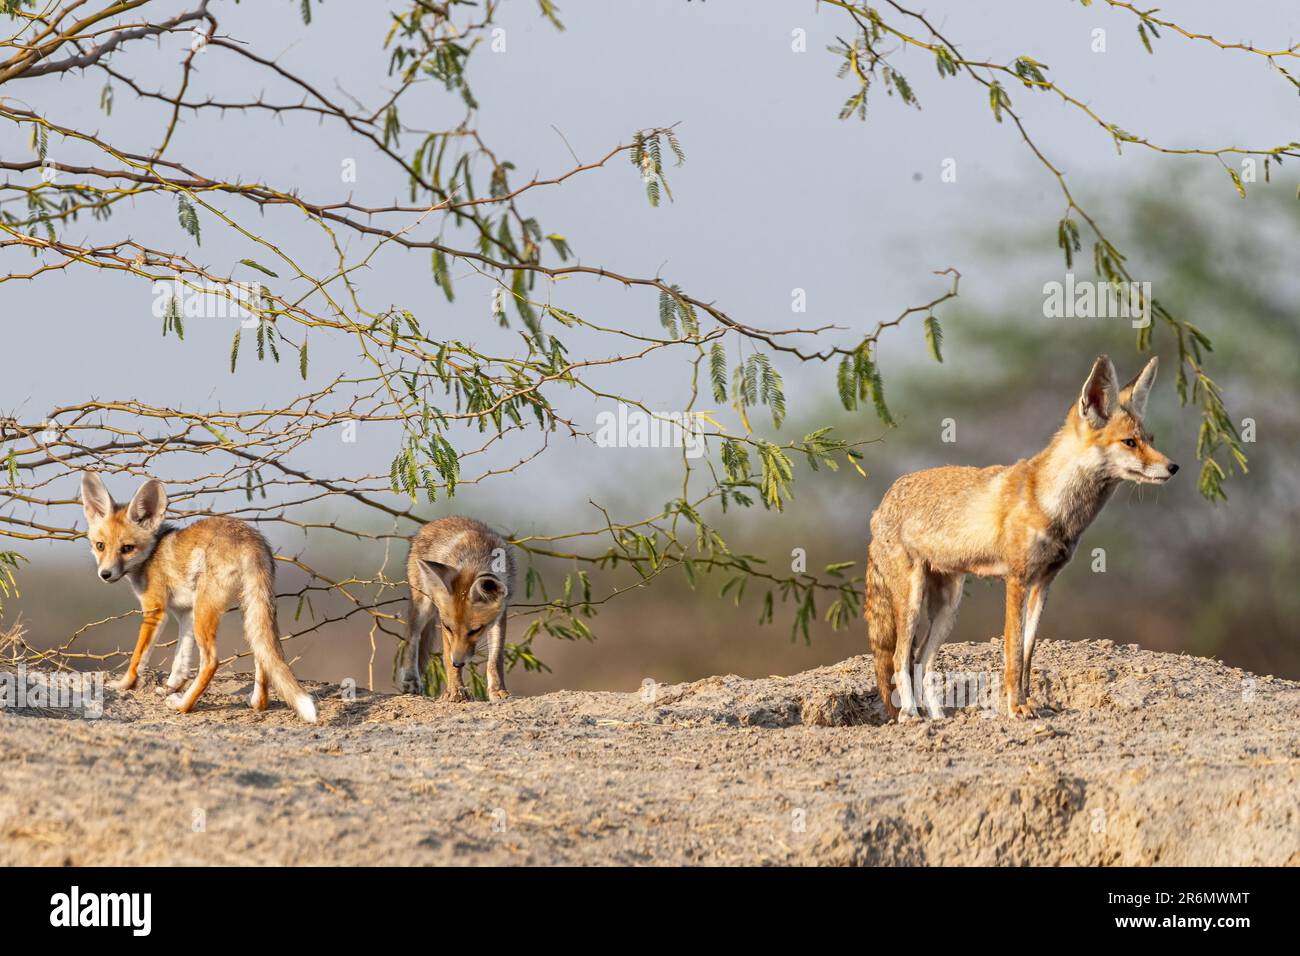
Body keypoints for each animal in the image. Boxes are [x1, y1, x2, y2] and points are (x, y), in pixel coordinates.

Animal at [79, 472, 317, 723]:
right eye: (100, 546)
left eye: (127, 548)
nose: (105, 574)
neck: (152, 553)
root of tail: (249, 539)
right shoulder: (185, 612)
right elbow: (180, 660)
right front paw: (171, 686)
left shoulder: (156, 610)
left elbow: (137, 659)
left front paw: (124, 685)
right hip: (248, 608)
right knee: (262, 653)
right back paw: (257, 702)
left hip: (206, 609)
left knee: (211, 662)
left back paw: (183, 705)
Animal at [396, 516, 515, 702]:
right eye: (448, 627)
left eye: (475, 630)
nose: (458, 662)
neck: (474, 558)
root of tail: (435, 522)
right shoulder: (444, 623)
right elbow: (447, 656)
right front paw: (456, 689)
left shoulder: (500, 614)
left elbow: (496, 658)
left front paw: (498, 690)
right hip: (424, 605)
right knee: (411, 636)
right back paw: (411, 679)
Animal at [866, 354, 1178, 722]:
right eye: (1130, 442)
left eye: (1151, 439)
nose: (1173, 467)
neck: (1056, 508)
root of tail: (881, 504)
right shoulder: (1015, 580)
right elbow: (1013, 652)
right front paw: (1016, 707)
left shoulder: (1043, 583)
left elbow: (1028, 654)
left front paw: (1030, 700)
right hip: (912, 601)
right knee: (900, 658)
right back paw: (910, 716)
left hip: (948, 608)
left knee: (922, 661)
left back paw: (939, 719)